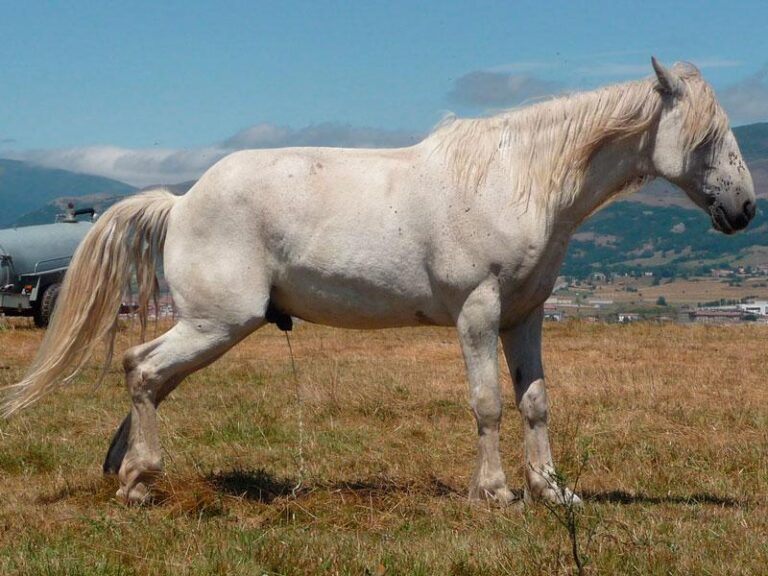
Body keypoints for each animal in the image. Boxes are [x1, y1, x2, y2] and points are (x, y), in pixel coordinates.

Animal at [2, 58, 756, 505]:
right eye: (709, 137)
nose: (745, 208)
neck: (514, 180)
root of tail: (180, 201)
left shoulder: (524, 316)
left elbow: (535, 402)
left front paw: (552, 492)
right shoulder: (477, 314)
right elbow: (488, 404)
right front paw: (497, 493)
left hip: (212, 329)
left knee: (148, 376)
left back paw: (126, 470)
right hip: (218, 323)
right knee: (142, 368)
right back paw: (138, 483)